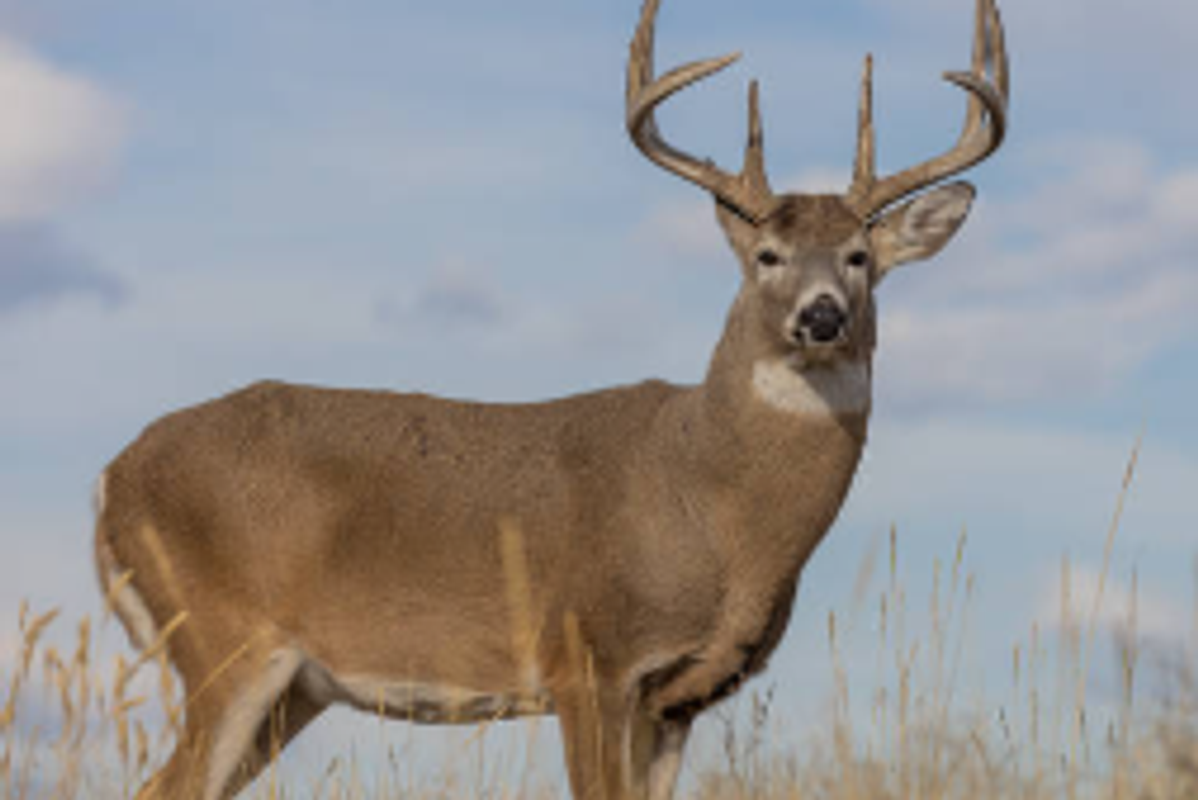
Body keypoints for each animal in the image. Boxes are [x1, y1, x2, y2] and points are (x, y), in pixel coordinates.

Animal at [93, 0, 1008, 797]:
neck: (710, 502)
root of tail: (110, 479)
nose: (821, 317)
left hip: (292, 689)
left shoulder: (678, 700)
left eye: (859, 257)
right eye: (767, 257)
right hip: (221, 639)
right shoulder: (588, 655)